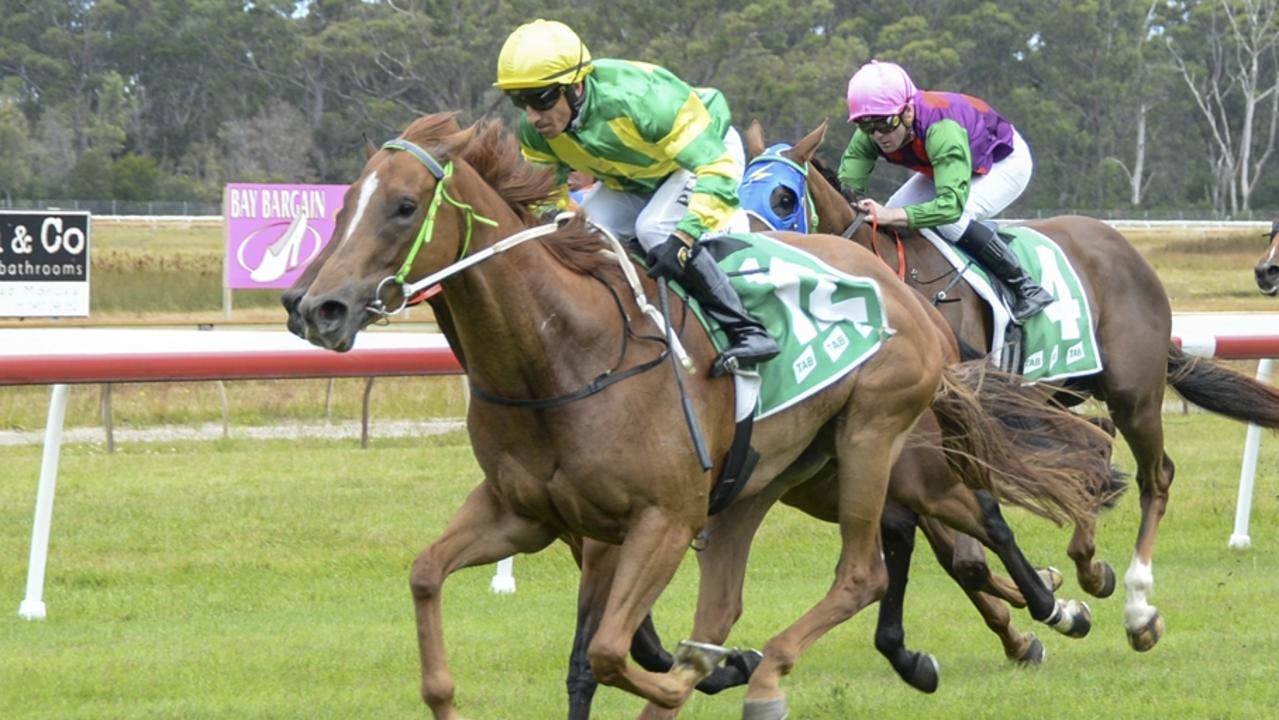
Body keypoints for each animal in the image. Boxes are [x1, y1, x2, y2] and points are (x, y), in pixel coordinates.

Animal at [287, 112, 1113, 718]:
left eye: (402, 209)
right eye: (340, 205)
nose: (314, 307)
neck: (562, 353)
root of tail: (906, 296)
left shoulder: (660, 518)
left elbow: (606, 651)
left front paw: (709, 673)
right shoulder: (529, 516)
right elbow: (429, 577)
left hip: (872, 437)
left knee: (876, 564)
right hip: (787, 478)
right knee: (795, 579)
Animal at [741, 120, 1279, 655]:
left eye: (784, 198)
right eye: (736, 190)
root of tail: (1123, 247)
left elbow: (966, 548)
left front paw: (1045, 608)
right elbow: (957, 551)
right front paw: (1039, 608)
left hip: (1134, 393)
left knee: (1155, 475)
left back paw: (1138, 607)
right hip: (1056, 390)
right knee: (1097, 440)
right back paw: (1090, 566)